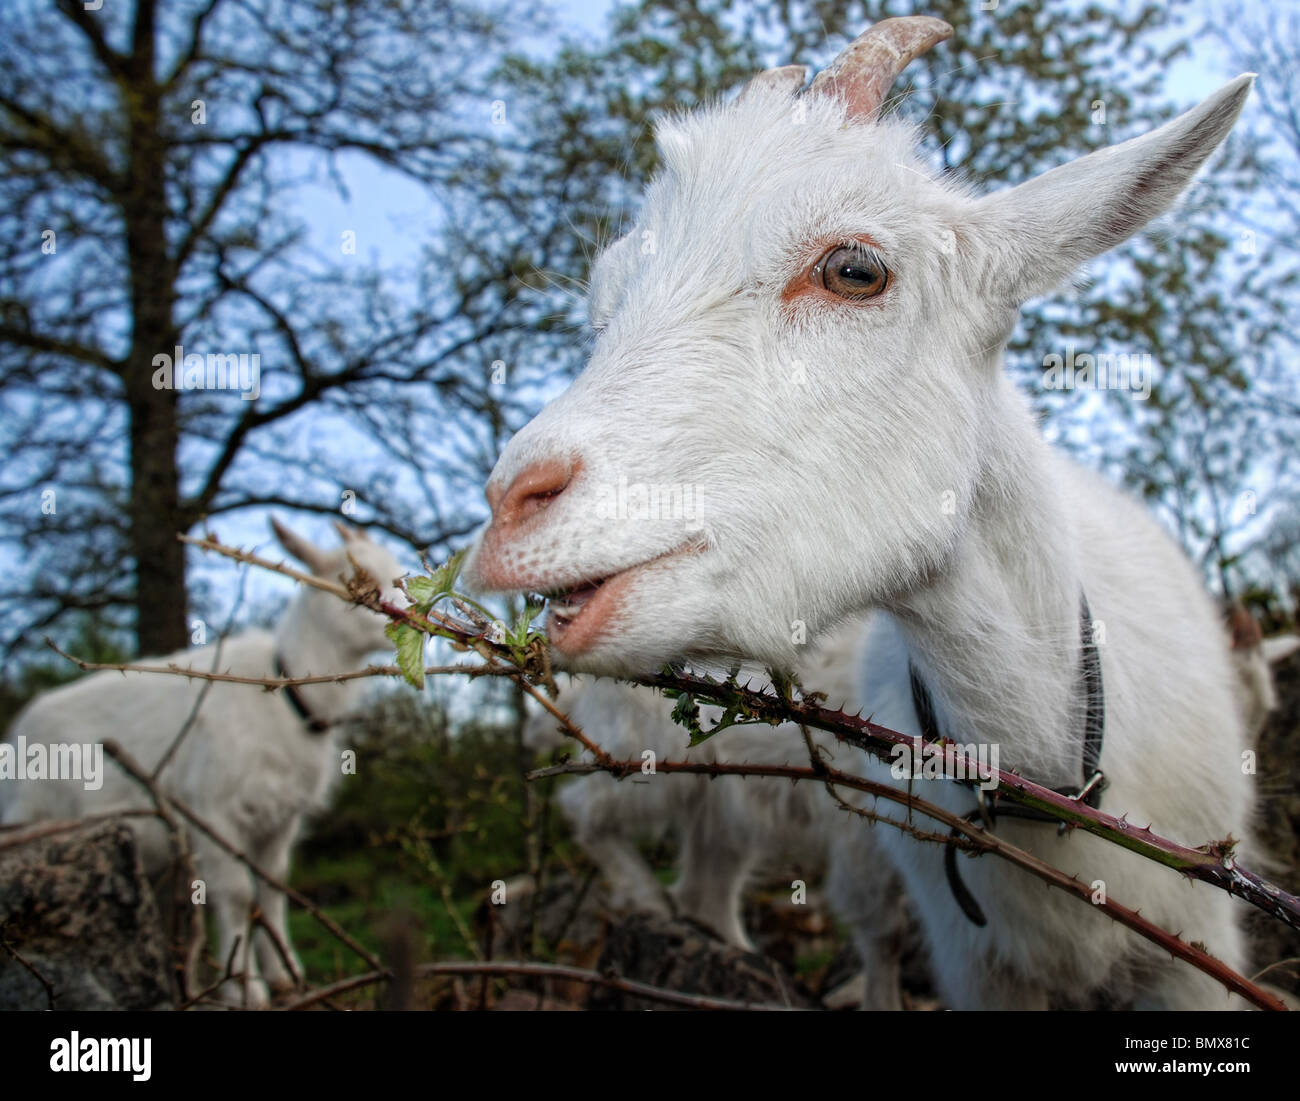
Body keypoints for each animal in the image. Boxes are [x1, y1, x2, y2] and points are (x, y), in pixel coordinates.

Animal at [0, 520, 406, 1007]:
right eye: (360, 583)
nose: (409, 614)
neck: (288, 696)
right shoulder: (214, 809)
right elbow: (237, 893)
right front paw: (248, 989)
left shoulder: (280, 817)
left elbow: (273, 885)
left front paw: (287, 977)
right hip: (42, 815)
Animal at [528, 620, 909, 1008]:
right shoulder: (864, 824)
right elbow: (885, 931)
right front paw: (883, 1001)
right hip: (648, 752)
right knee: (583, 806)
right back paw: (648, 896)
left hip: (723, 800)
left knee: (705, 892)